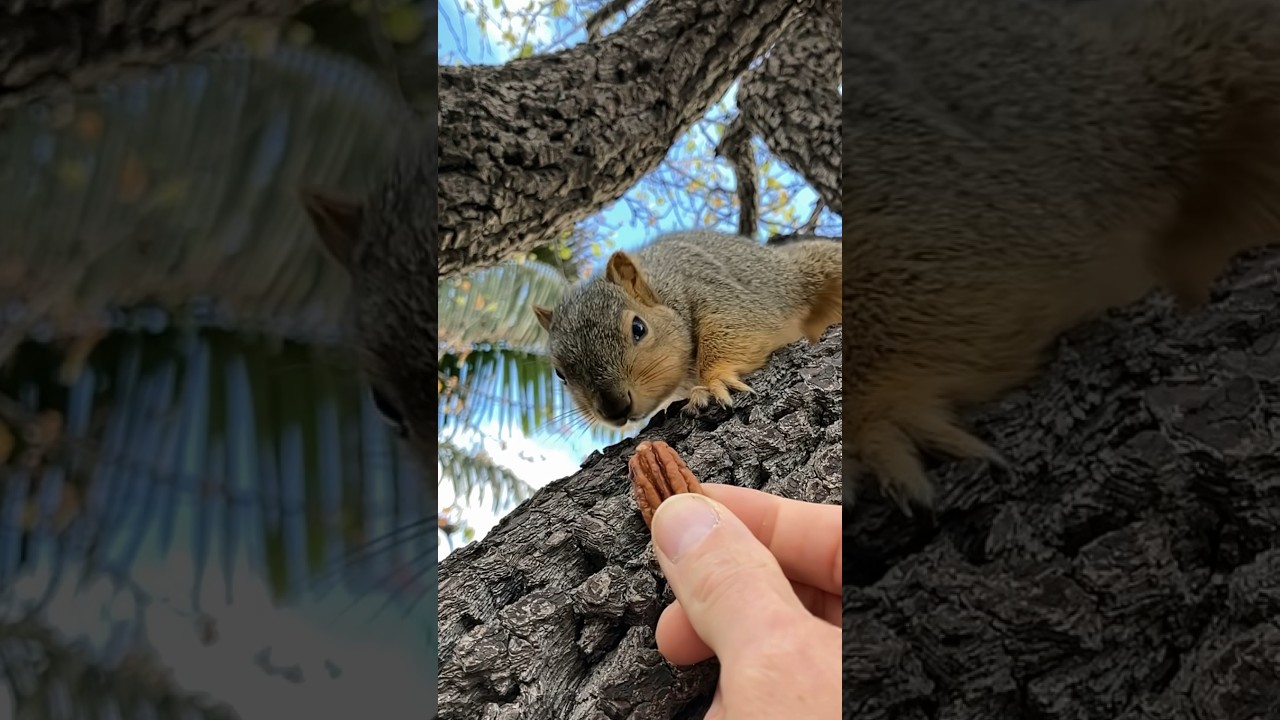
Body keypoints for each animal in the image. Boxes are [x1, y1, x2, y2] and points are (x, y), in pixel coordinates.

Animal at [533, 230, 841, 429]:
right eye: (560, 374)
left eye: (638, 328)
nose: (615, 408)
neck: (661, 288)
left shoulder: (715, 291)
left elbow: (738, 327)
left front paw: (716, 380)